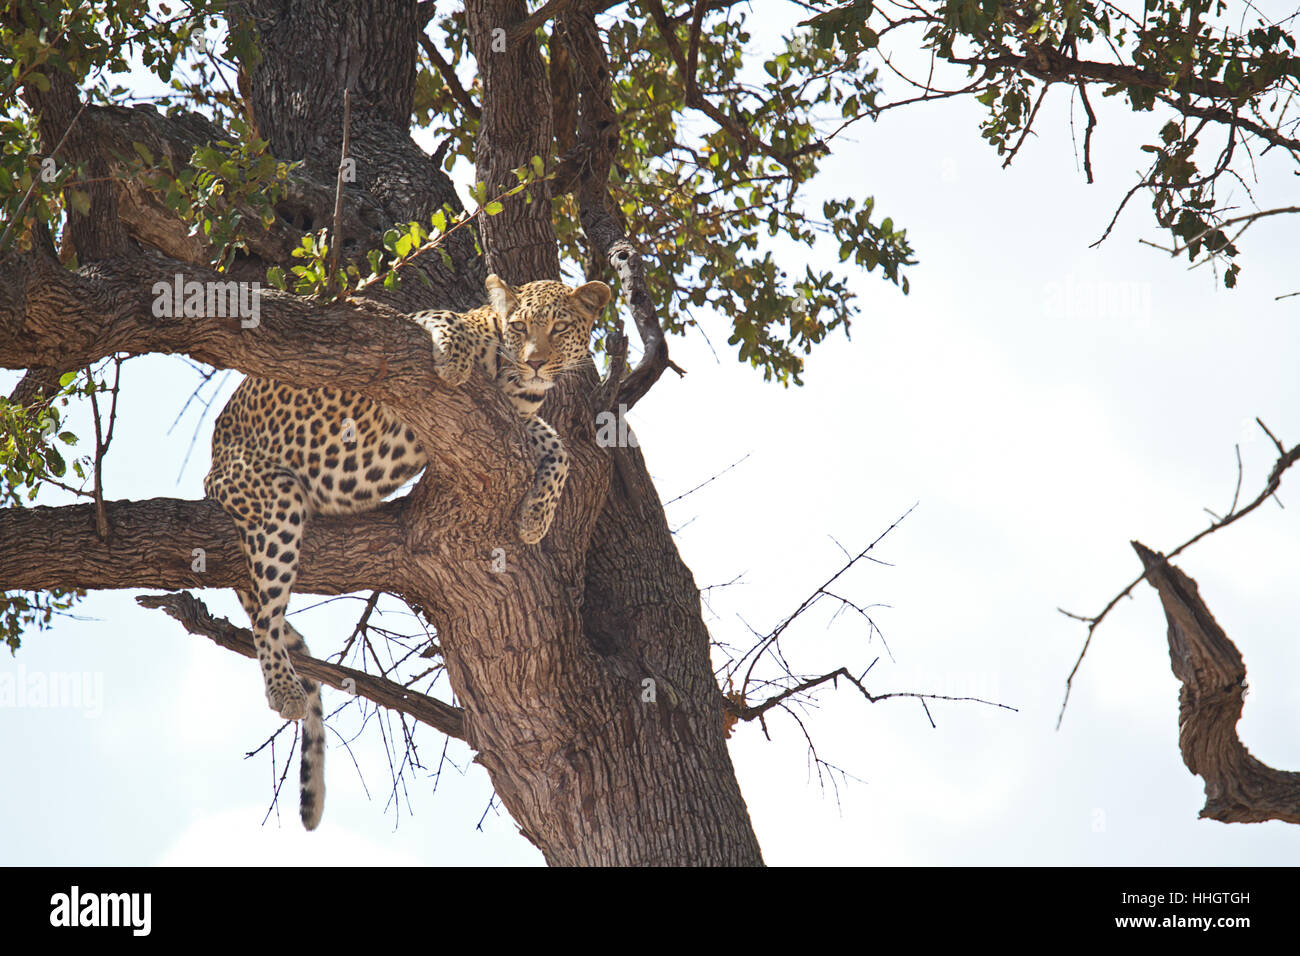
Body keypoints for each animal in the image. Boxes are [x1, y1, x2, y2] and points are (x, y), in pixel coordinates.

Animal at [203, 273, 611, 829]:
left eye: (560, 328)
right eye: (522, 325)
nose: (534, 361)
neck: (521, 388)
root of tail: (211, 468)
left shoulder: (519, 420)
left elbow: (560, 447)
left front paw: (535, 519)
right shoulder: (403, 329)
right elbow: (447, 320)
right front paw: (456, 362)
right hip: (274, 497)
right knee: (266, 614)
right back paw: (283, 688)